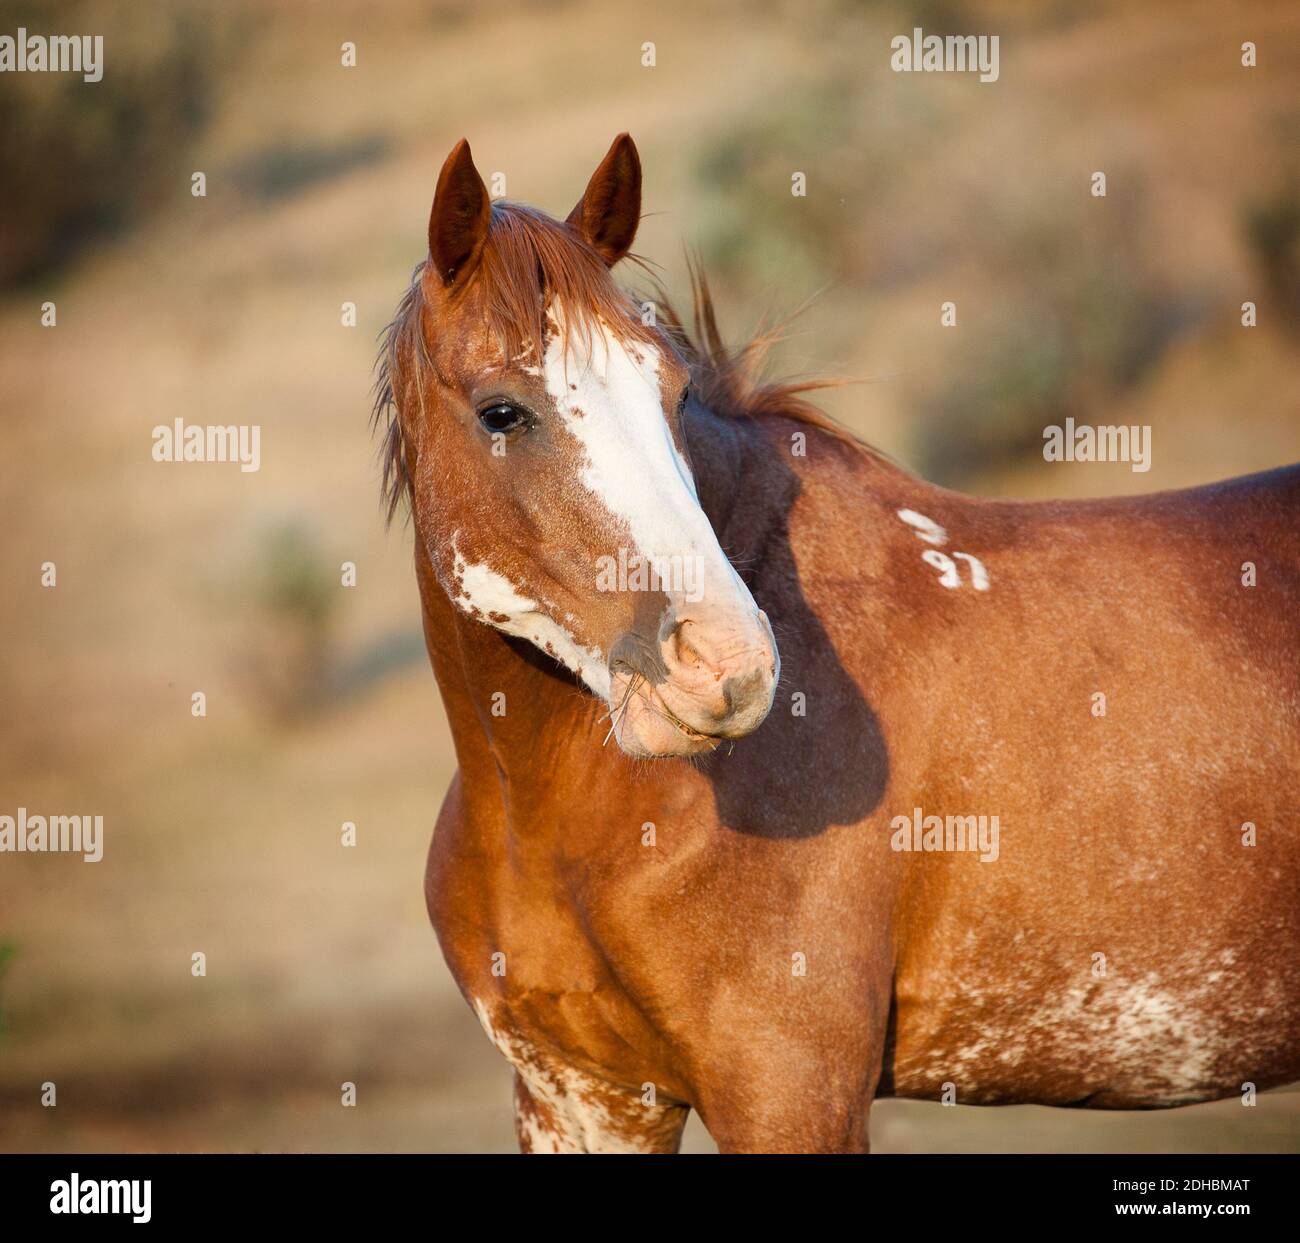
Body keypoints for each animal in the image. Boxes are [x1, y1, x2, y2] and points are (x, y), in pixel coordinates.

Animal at [373, 133, 1300, 1153]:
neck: (552, 813)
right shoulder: (582, 1095)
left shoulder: (789, 1090)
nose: (730, 666)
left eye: (673, 393)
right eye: (502, 412)